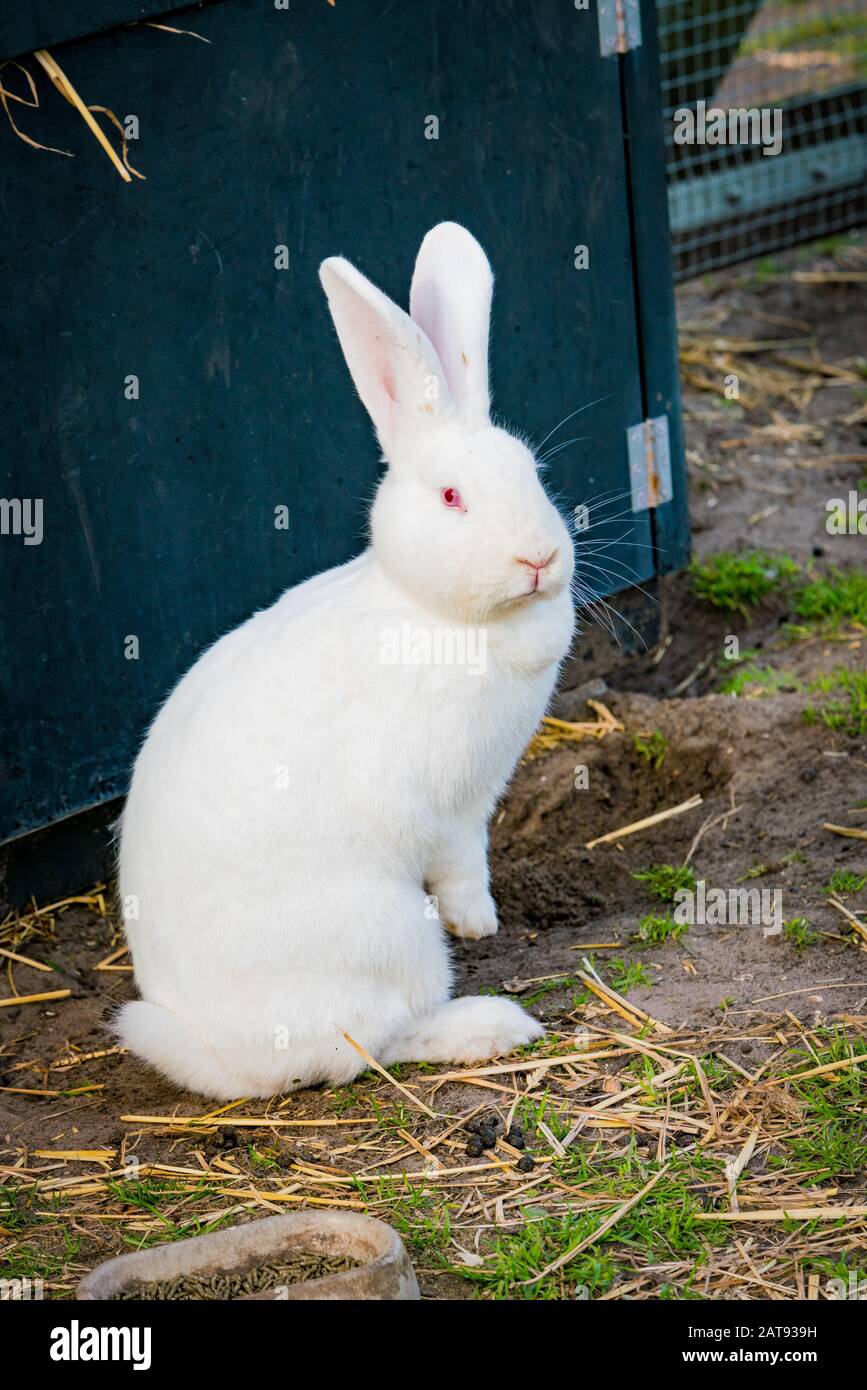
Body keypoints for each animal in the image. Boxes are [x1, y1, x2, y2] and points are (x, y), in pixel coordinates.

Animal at [115, 222, 576, 1100]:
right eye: (451, 498)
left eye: (535, 474)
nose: (538, 559)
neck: (437, 614)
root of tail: (222, 1057)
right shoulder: (451, 809)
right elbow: (462, 867)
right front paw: (482, 924)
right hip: (392, 934)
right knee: (371, 1045)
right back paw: (493, 1026)